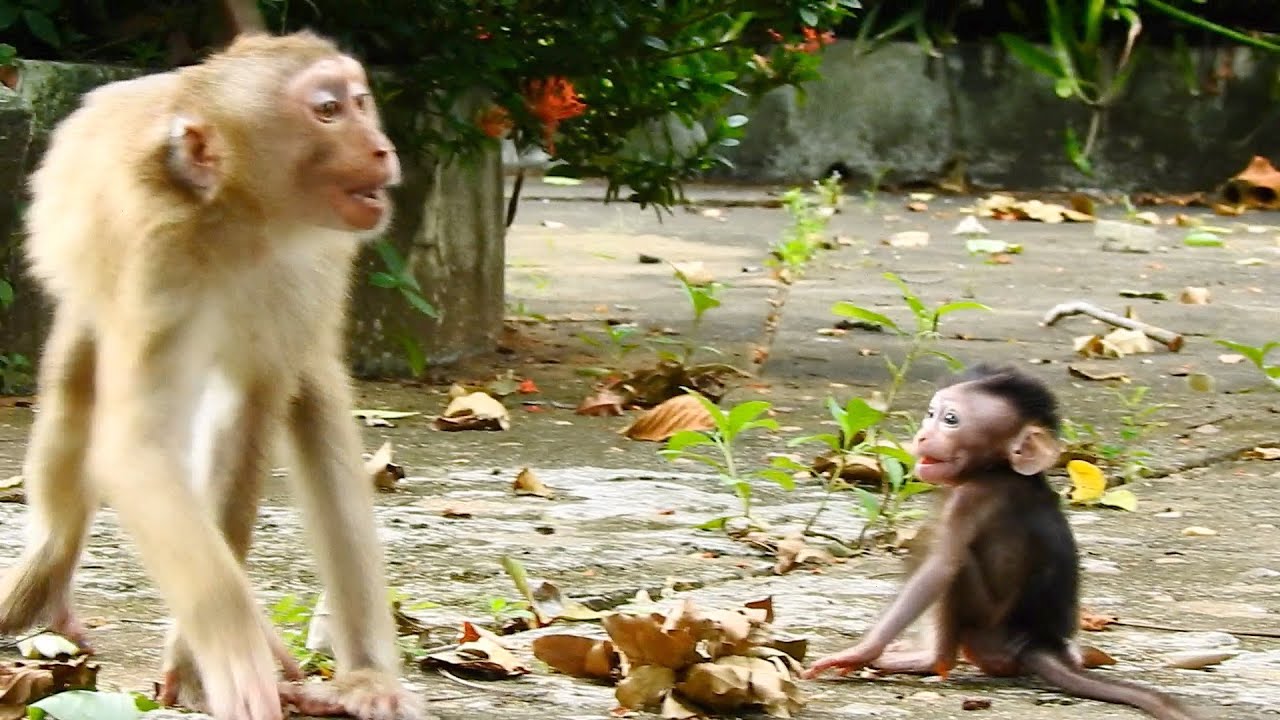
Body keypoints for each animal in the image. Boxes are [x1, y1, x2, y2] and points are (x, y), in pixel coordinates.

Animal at [0, 31, 425, 720]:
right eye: (328, 110)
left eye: (361, 102)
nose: (381, 147)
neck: (247, 225)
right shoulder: (159, 263)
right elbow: (137, 449)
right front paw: (233, 647)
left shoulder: (308, 268)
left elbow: (250, 412)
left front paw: (197, 660)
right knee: (76, 389)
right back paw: (46, 576)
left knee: (313, 402)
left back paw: (366, 677)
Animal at [804, 364, 1202, 720]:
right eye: (930, 415)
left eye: (950, 420)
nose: (922, 436)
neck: (997, 468)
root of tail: (1035, 642)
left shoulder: (971, 498)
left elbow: (940, 568)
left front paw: (859, 653)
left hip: (986, 636)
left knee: (951, 564)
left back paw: (932, 659)